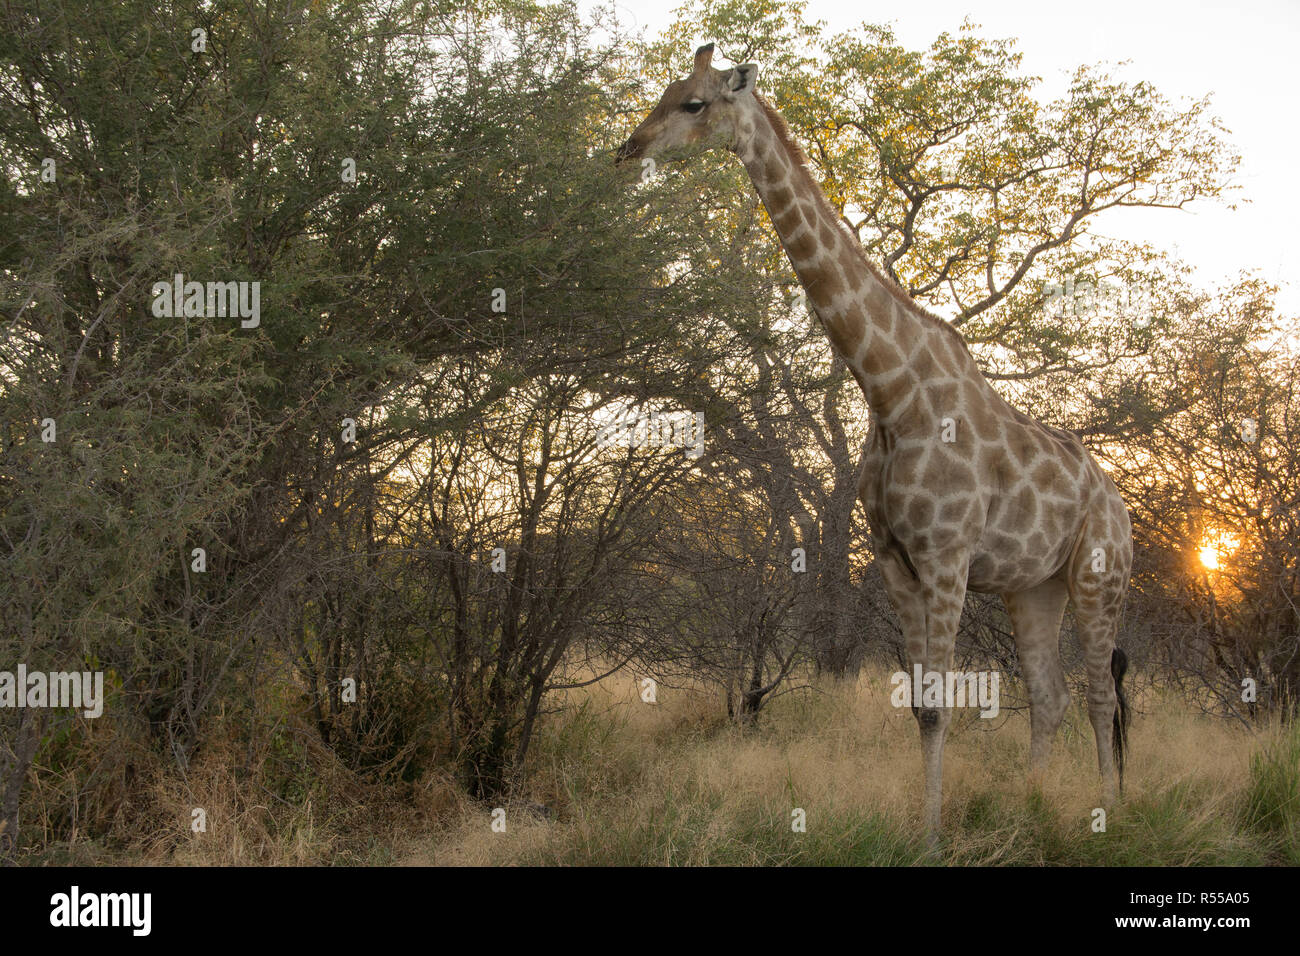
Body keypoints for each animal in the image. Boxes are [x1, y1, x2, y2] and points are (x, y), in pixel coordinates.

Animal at [617, 43, 1133, 841]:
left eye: (695, 103)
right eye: (666, 90)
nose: (630, 148)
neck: (891, 391)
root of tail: (1122, 503)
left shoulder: (947, 556)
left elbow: (942, 706)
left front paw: (934, 839)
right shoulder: (894, 559)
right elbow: (919, 706)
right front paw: (930, 831)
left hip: (1099, 575)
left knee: (1101, 693)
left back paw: (1109, 811)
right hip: (1033, 585)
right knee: (1051, 695)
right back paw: (1032, 809)